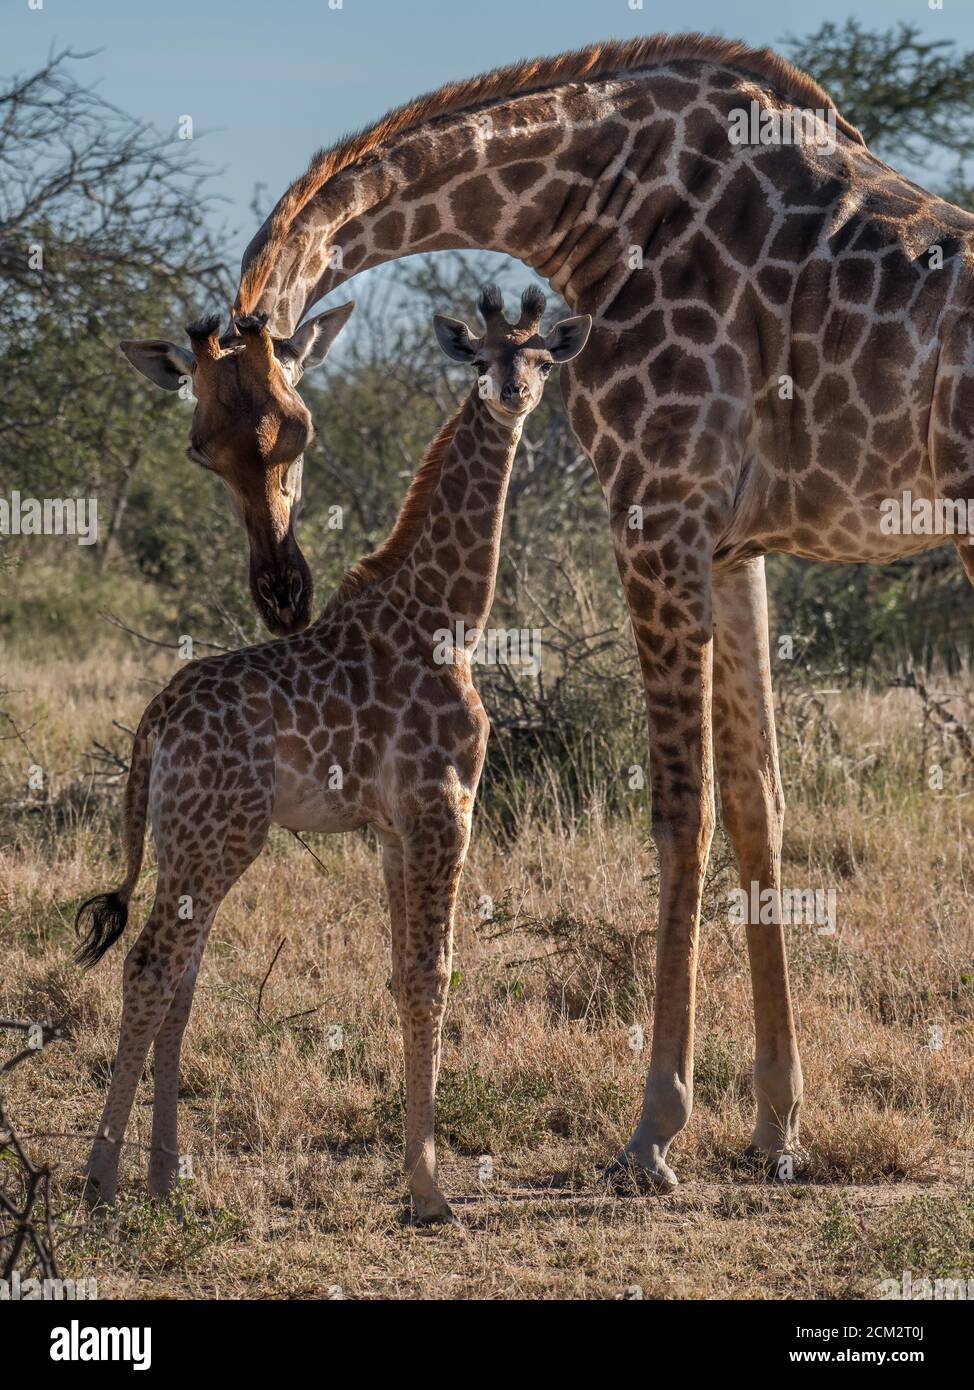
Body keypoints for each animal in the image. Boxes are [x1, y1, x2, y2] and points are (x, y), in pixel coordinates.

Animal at [80, 287, 591, 1223]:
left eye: (540, 358)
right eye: (480, 357)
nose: (512, 393)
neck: (451, 616)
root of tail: (152, 723)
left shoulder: (391, 828)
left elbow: (400, 975)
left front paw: (415, 1177)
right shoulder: (442, 806)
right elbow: (432, 974)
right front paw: (429, 1191)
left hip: (186, 841)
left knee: (180, 981)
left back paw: (164, 1178)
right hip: (217, 837)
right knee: (149, 968)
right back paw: (101, 1183)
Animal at [118, 33, 974, 1192]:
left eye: (295, 429)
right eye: (200, 446)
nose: (283, 593)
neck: (590, 200)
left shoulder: (657, 505)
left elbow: (679, 810)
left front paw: (653, 1133)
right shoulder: (733, 543)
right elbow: (758, 804)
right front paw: (775, 1127)